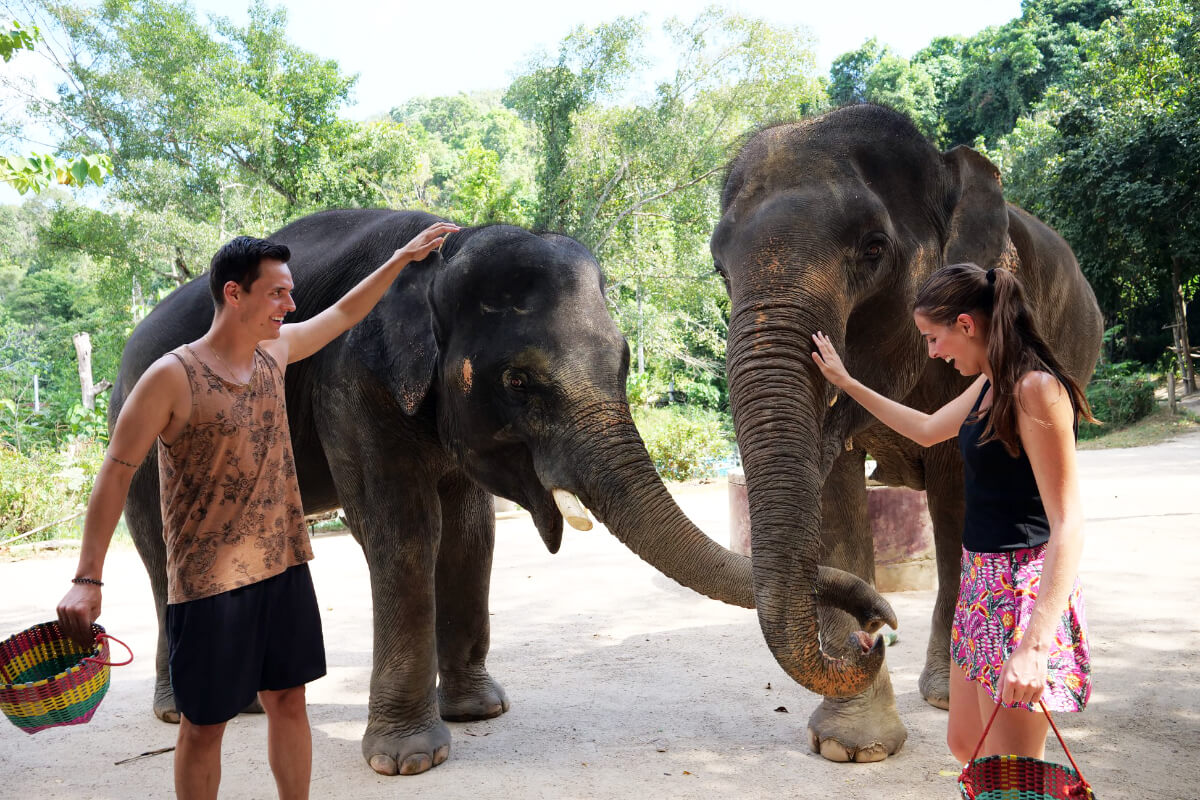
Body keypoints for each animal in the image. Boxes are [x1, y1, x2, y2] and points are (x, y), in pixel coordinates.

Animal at [114, 208, 894, 775]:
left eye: (624, 361)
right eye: (520, 381)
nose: (878, 627)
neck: (441, 260)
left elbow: (470, 534)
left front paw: (479, 712)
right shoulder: (350, 386)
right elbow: (402, 532)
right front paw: (407, 760)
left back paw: (240, 705)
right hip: (143, 426)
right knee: (163, 555)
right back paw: (183, 712)